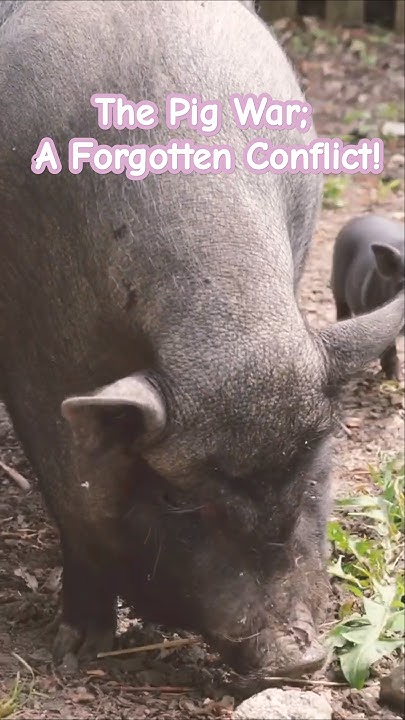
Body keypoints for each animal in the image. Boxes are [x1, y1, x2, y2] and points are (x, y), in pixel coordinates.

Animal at [331, 215, 404, 381]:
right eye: (402, 283)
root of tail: (359, 218)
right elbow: (389, 347)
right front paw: (395, 379)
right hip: (337, 282)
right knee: (341, 308)